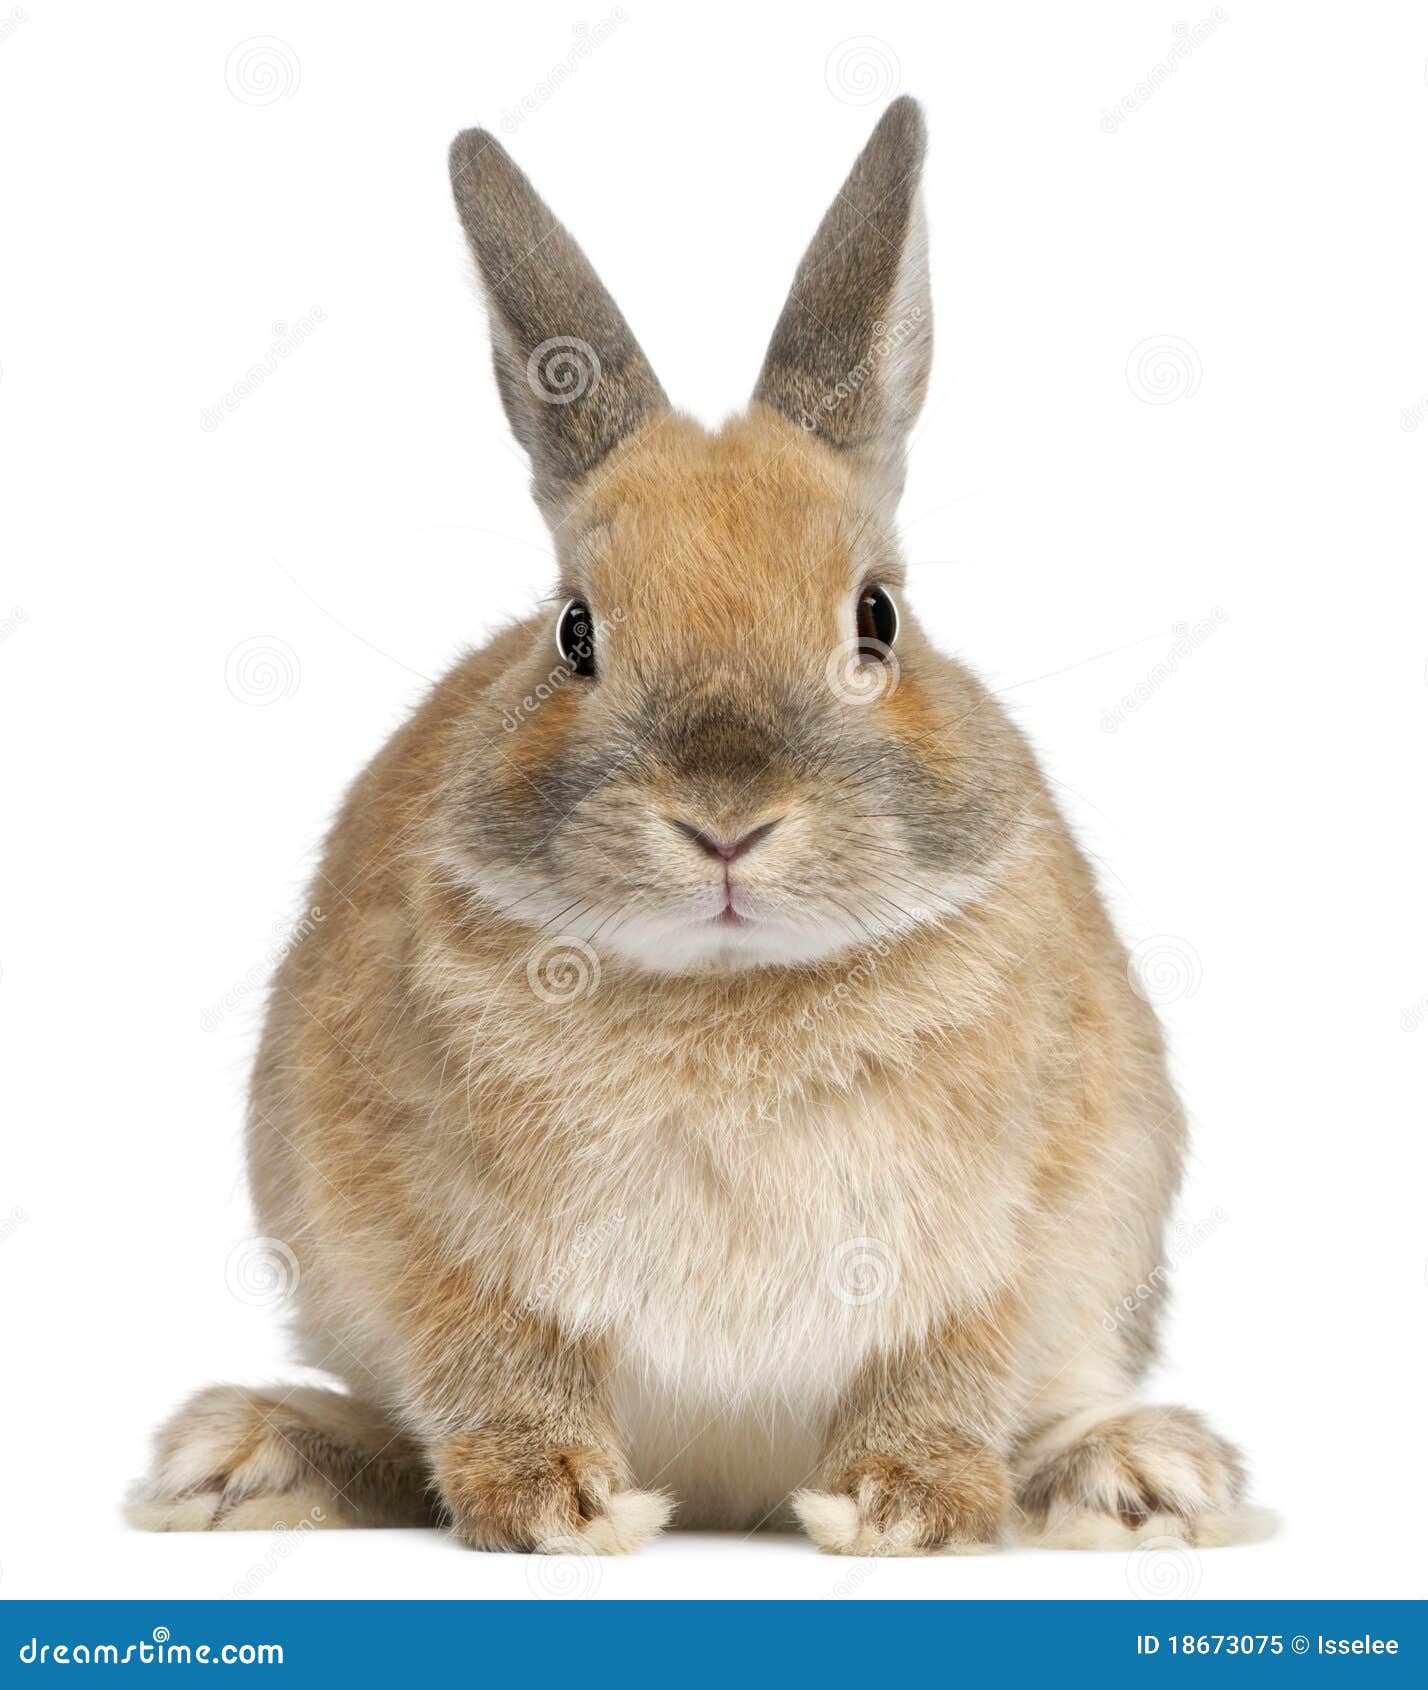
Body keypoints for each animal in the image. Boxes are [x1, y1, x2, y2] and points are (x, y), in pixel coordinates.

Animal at [128, 97, 1264, 1556]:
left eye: (877, 618)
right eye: (574, 630)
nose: (727, 821)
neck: (730, 994)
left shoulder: (1006, 1243)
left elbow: (948, 1369)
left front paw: (906, 1506)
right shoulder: (425, 1236)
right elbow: (492, 1362)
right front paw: (552, 1503)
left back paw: (1141, 1473)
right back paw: (249, 1454)